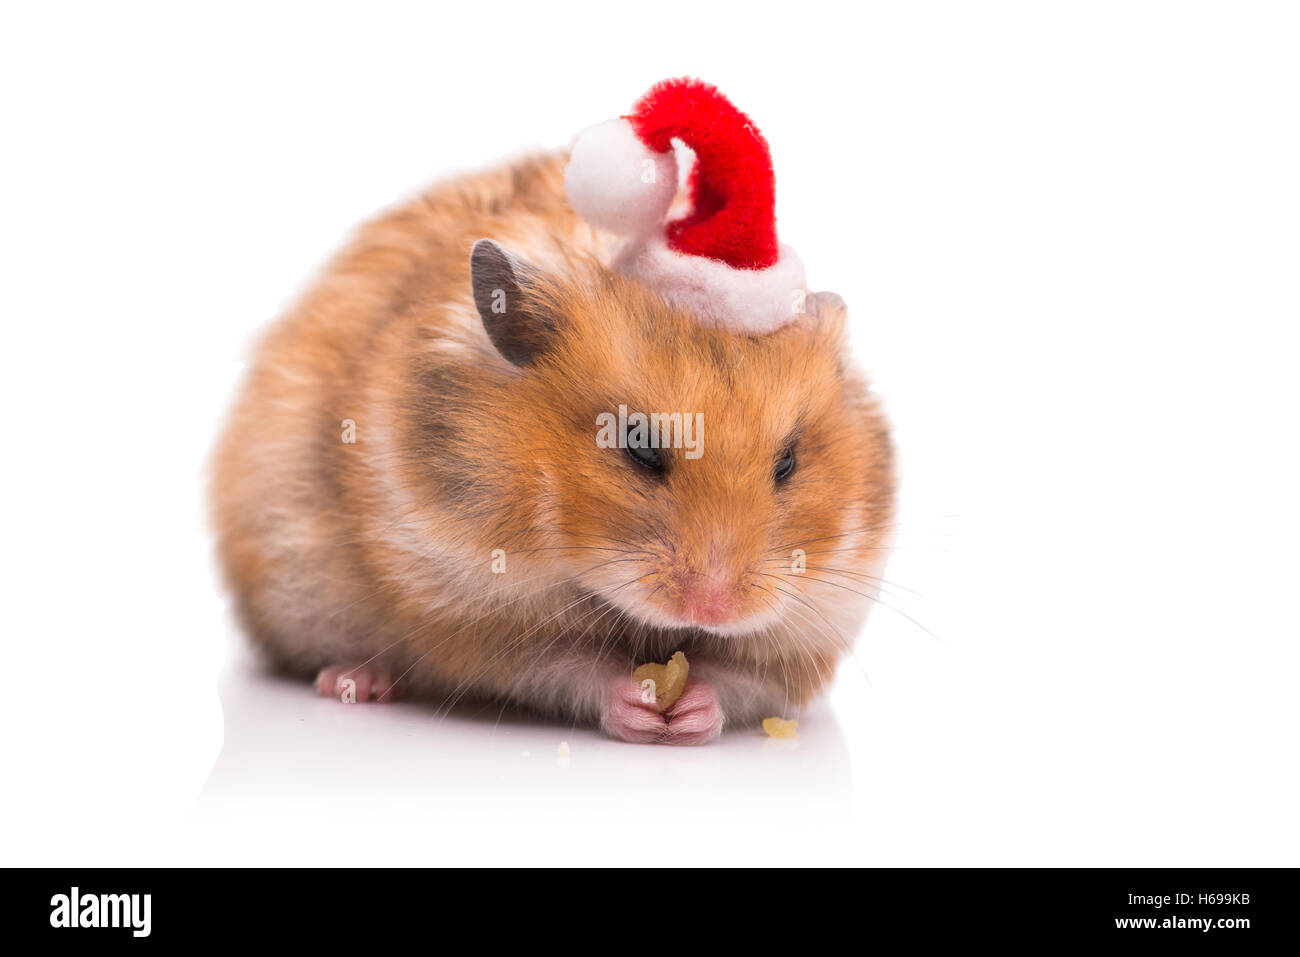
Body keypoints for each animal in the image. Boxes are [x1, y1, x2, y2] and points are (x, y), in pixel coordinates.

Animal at [209, 152, 895, 745]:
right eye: (637, 444)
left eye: (788, 463)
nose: (714, 609)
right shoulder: (464, 610)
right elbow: (563, 666)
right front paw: (641, 703)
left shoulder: (813, 627)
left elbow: (745, 680)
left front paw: (691, 711)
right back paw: (358, 682)